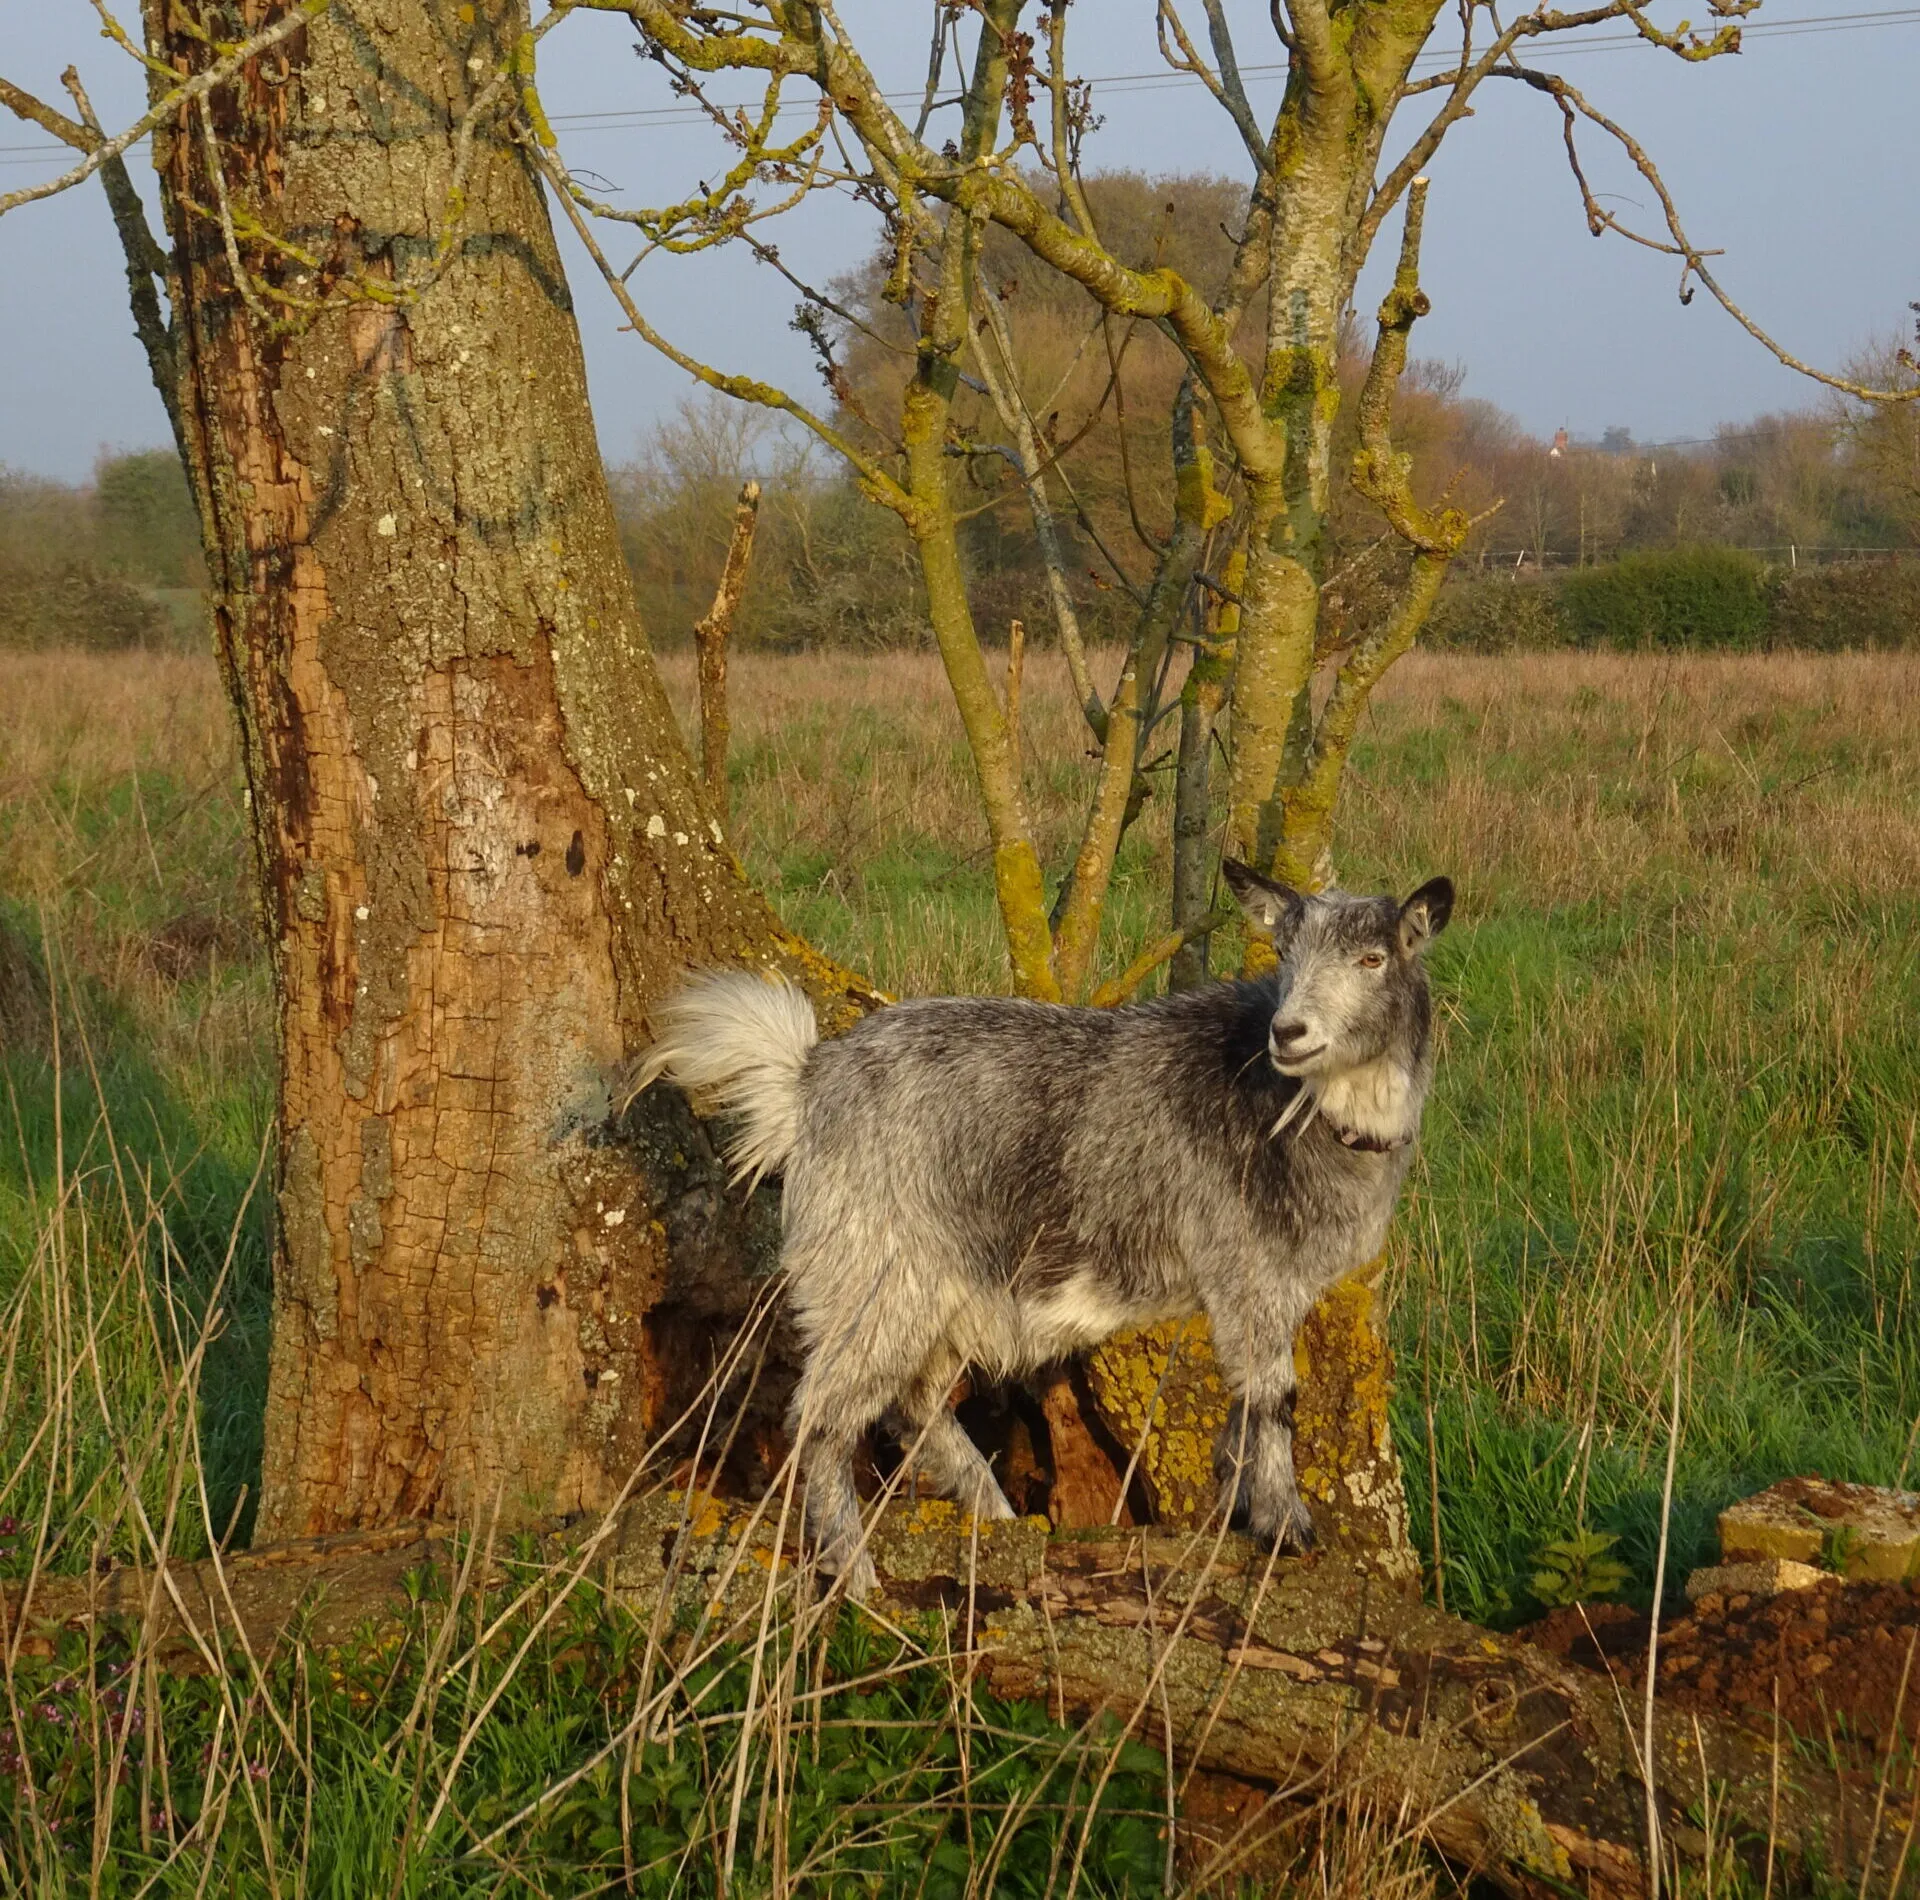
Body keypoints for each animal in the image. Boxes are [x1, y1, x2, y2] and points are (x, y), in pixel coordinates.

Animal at [635, 860, 1453, 1596]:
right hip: (871, 1273)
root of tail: (806, 1080)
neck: (1299, 1109)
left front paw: (1237, 1497)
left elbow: (1248, 1405)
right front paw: (1288, 1526)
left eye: (1373, 957)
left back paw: (994, 1513)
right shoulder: (1247, 1274)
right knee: (822, 1419)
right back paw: (855, 1575)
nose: (1290, 1032)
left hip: (934, 1287)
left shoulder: (1264, 1290)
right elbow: (1275, 1400)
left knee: (916, 1404)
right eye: (1284, 954)